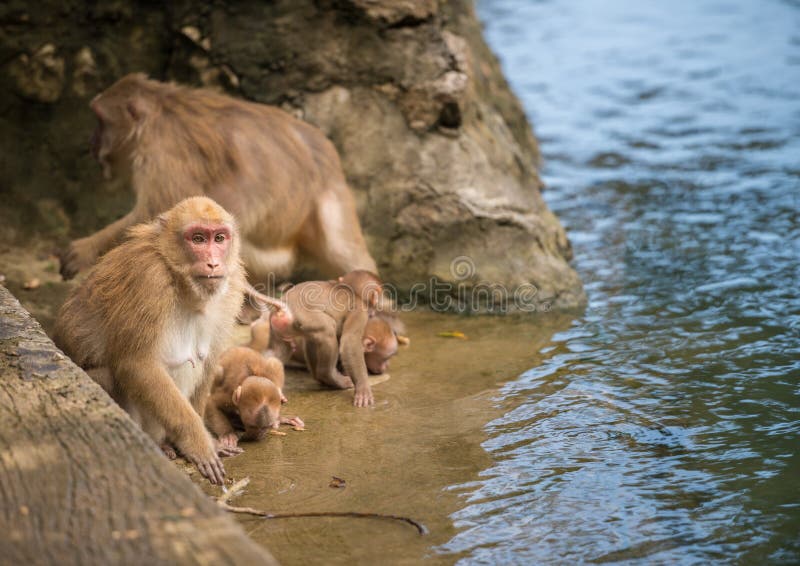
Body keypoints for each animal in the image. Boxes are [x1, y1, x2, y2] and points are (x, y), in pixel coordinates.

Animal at [53, 196, 246, 485]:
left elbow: (210, 361)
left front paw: (206, 441)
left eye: (220, 238)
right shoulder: (148, 280)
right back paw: (158, 446)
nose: (214, 263)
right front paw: (198, 442)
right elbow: (137, 364)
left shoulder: (231, 286)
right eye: (198, 239)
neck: (182, 284)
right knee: (110, 375)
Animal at [58, 73, 377, 296]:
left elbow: (158, 214)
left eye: (100, 121)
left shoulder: (165, 155)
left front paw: (83, 251)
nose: (90, 143)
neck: (159, 113)